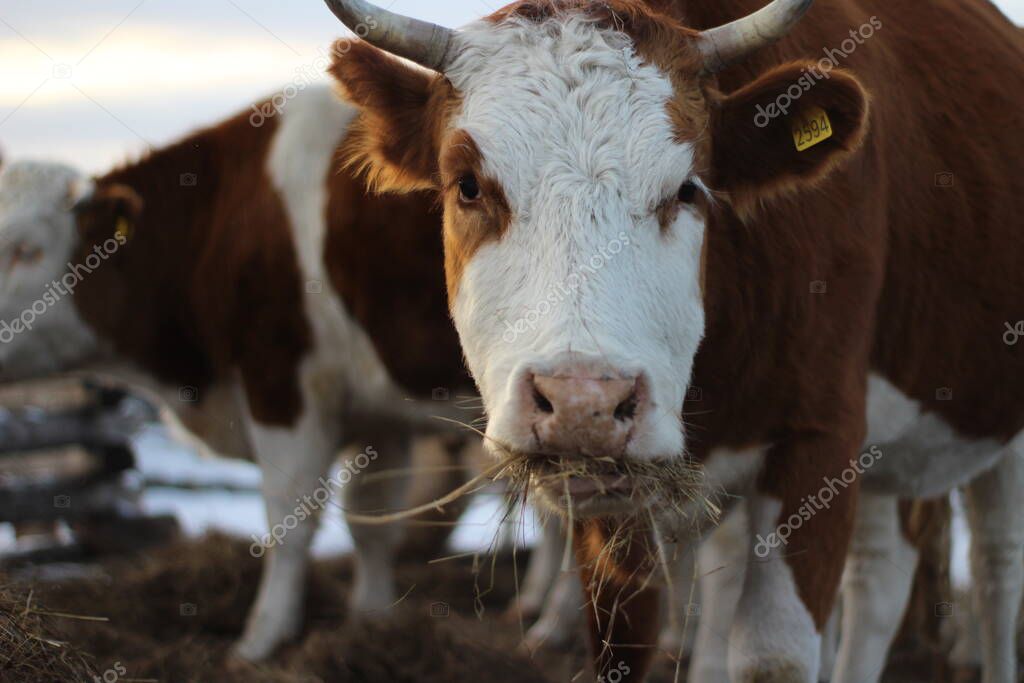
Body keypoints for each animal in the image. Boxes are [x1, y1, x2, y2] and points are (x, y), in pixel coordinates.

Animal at [0, 84, 477, 661]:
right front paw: (372, 623)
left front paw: (259, 641)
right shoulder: (379, 411)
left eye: (26, 250)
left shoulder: (281, 382)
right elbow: (374, 520)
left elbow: (290, 519)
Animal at [322, 0, 1024, 681]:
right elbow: (623, 642)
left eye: (688, 188)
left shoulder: (821, 437)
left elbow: (776, 653)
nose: (582, 403)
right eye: (468, 184)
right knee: (878, 579)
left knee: (996, 574)